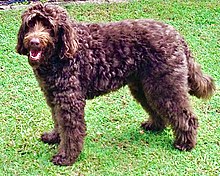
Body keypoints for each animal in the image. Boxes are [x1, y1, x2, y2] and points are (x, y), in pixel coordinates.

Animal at [16, 2, 215, 165]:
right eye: (30, 24)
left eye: (49, 25)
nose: (34, 42)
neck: (62, 53)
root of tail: (177, 35)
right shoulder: (54, 96)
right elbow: (58, 121)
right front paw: (55, 137)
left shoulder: (69, 100)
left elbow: (71, 129)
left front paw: (66, 157)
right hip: (145, 86)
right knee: (158, 110)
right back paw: (154, 126)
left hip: (165, 84)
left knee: (186, 116)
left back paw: (185, 143)